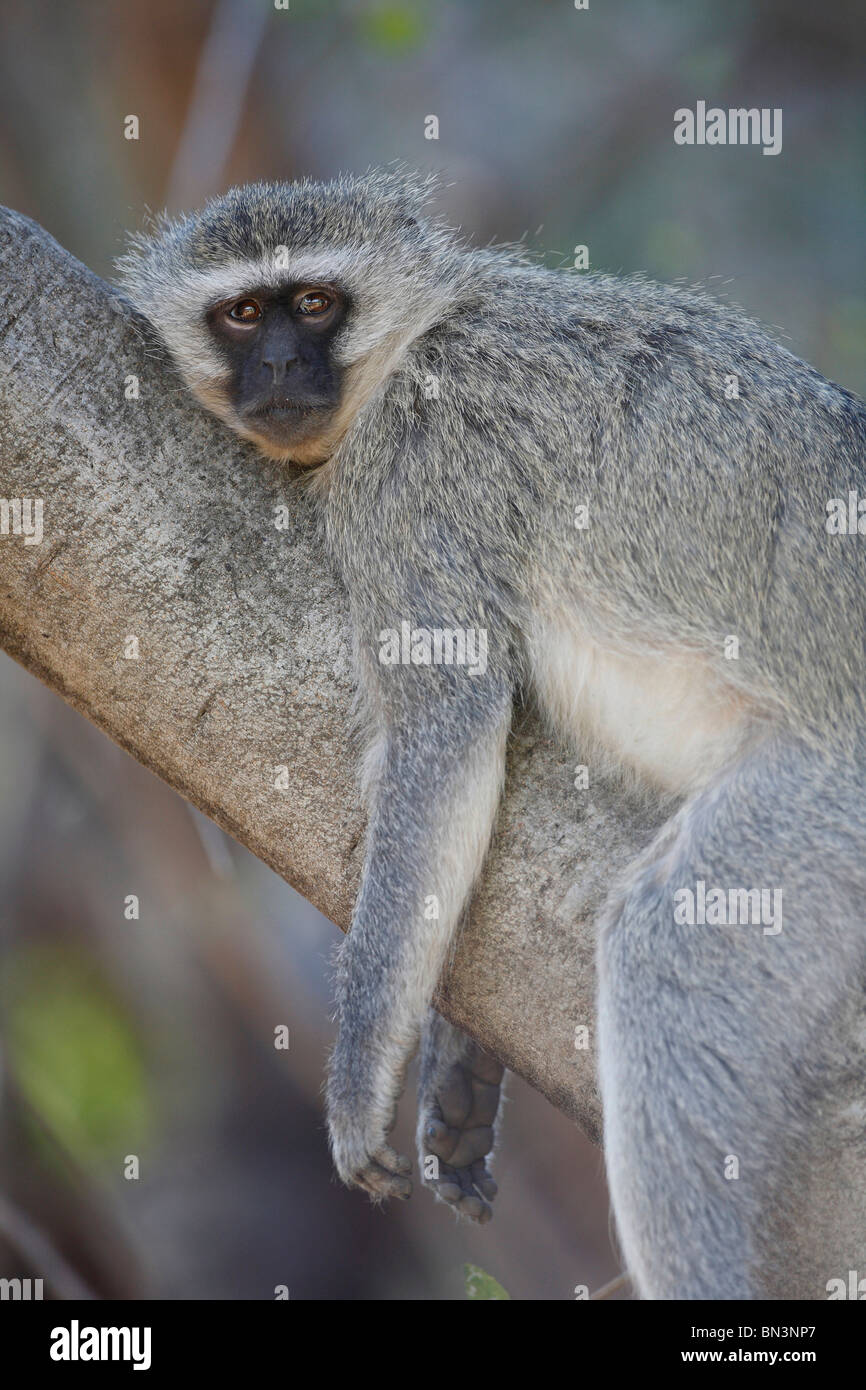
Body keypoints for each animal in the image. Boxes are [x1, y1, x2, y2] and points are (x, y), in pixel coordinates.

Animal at [118, 168, 866, 1298]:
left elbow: (447, 730)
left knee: (666, 955)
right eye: (243, 313)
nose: (281, 367)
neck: (416, 335)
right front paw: (459, 1070)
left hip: (834, 800)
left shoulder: (414, 471)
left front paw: (359, 1079)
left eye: (314, 304)